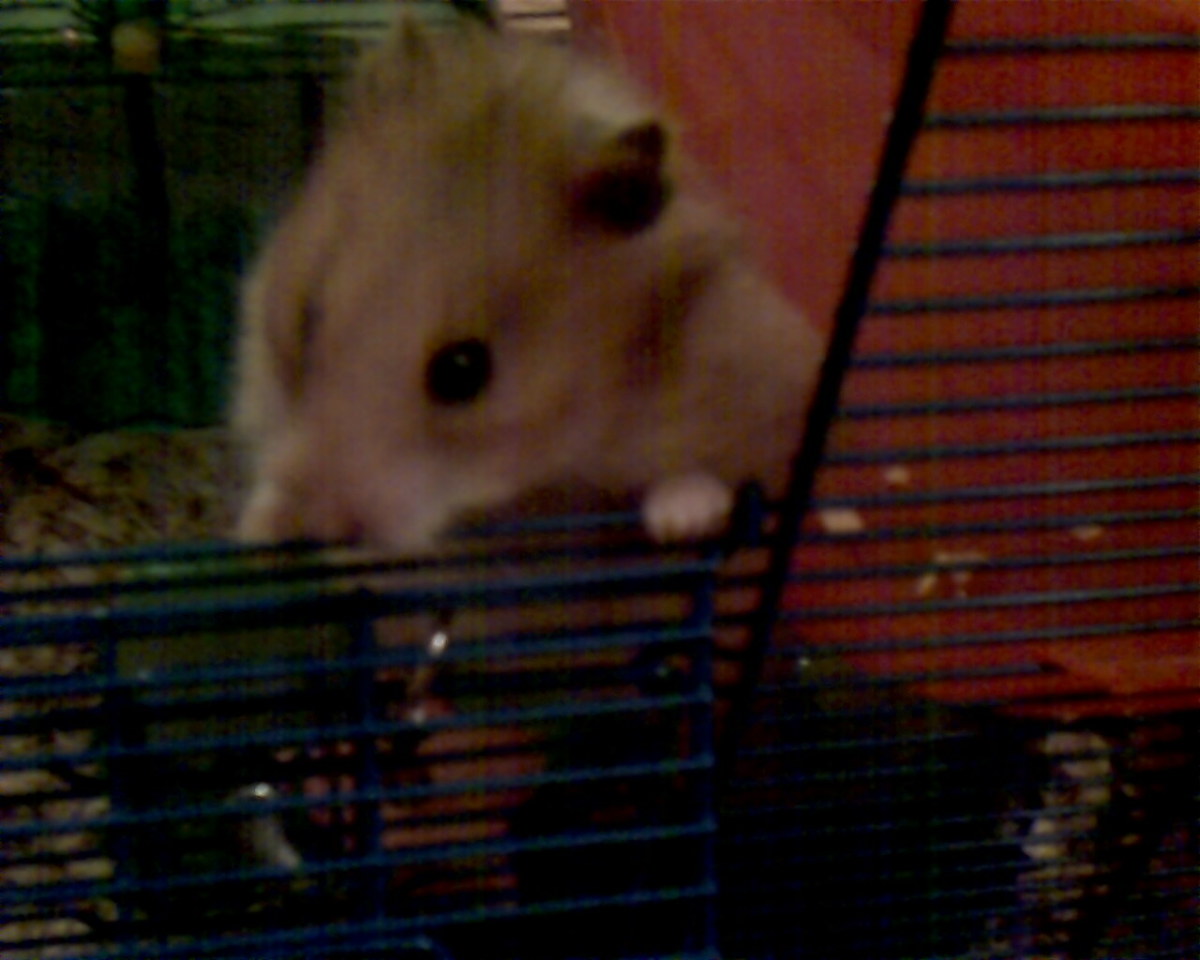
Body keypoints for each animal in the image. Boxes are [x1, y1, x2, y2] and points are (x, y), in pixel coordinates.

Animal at [231, 12, 823, 550]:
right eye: (306, 319)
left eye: (463, 371)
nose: (322, 529)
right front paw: (257, 525)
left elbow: (710, 474)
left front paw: (680, 521)